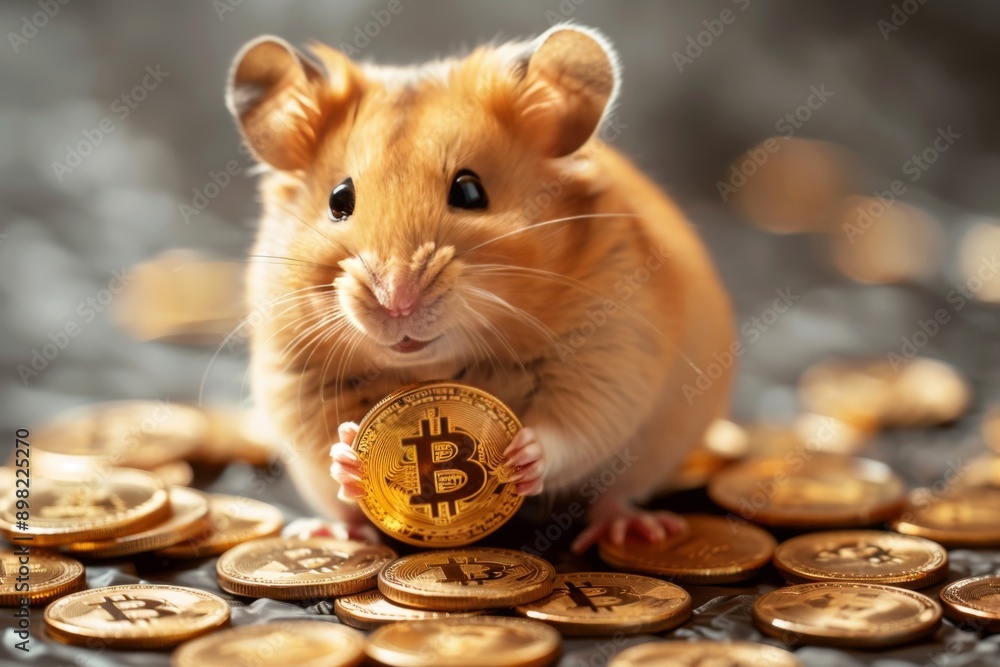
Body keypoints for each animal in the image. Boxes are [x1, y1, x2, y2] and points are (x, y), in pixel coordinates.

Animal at [227, 24, 734, 552]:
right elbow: (322, 441)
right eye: (338, 199)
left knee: (617, 492)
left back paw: (637, 528)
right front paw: (348, 454)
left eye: (470, 191)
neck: (436, 363)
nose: (396, 301)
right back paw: (328, 533)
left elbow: (572, 429)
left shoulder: (612, 353)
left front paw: (524, 453)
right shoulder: (293, 375)